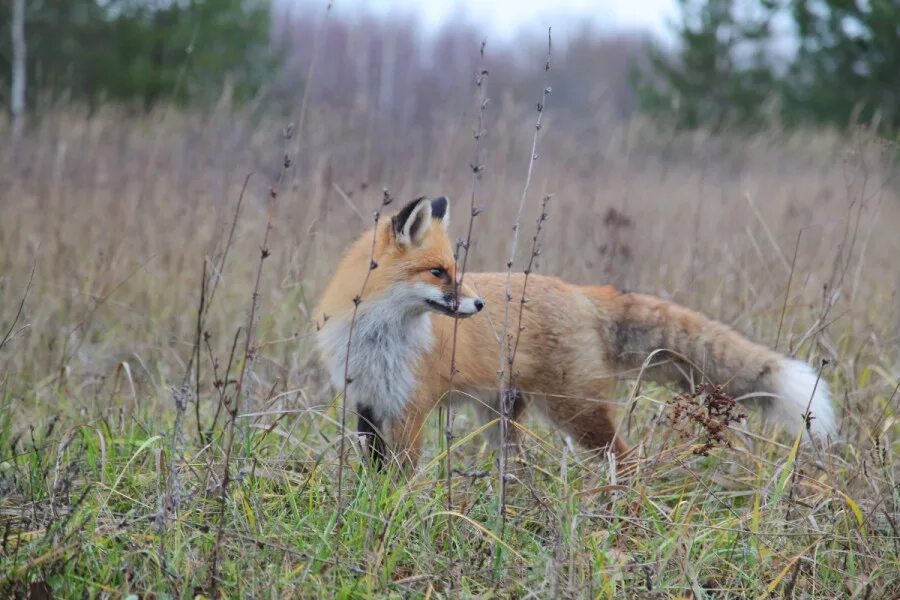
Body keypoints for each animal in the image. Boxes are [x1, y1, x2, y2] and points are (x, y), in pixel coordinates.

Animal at [316, 197, 836, 468]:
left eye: (455, 271)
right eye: (439, 273)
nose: (479, 305)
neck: (377, 340)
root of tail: (581, 292)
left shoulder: (411, 409)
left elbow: (402, 476)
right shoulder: (367, 405)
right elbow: (373, 473)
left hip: (577, 413)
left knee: (625, 457)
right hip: (503, 420)